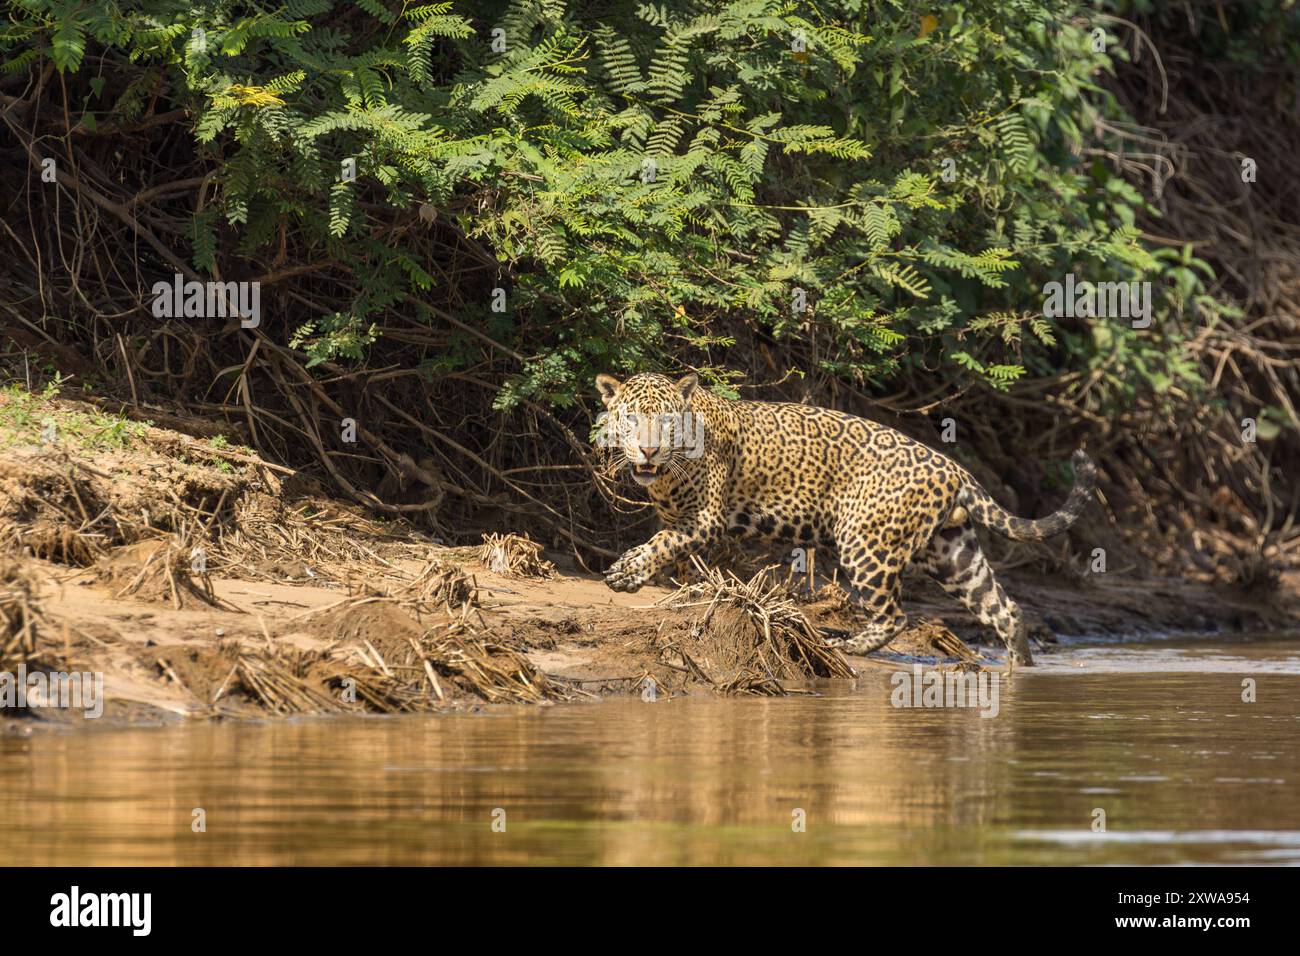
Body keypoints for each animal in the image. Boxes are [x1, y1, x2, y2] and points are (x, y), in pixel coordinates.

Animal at [594, 371, 1097, 666]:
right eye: (632, 419)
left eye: (667, 421)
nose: (648, 451)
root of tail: (954, 468)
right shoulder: (677, 513)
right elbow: (670, 550)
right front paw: (660, 584)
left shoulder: (703, 518)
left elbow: (664, 543)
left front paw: (625, 573)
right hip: (953, 552)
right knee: (1005, 610)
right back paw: (1020, 670)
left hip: (866, 542)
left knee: (896, 616)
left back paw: (844, 646)